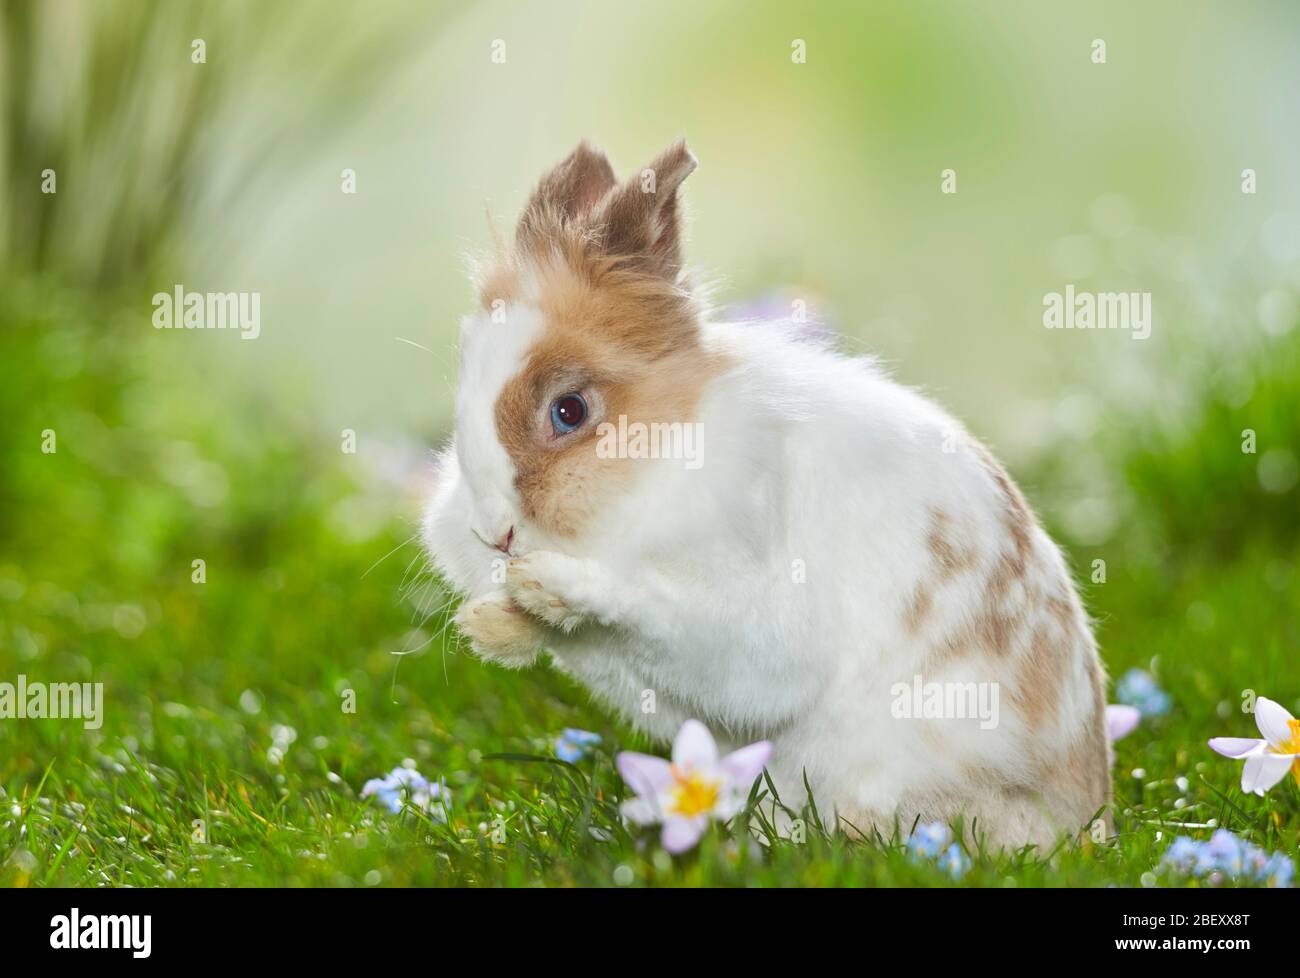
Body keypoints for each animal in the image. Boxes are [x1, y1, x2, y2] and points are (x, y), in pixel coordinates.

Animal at [421, 139, 1111, 849]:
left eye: (569, 411)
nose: (493, 534)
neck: (669, 452)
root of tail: (1088, 819)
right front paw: (492, 623)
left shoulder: (747, 622)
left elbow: (655, 609)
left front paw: (545, 586)